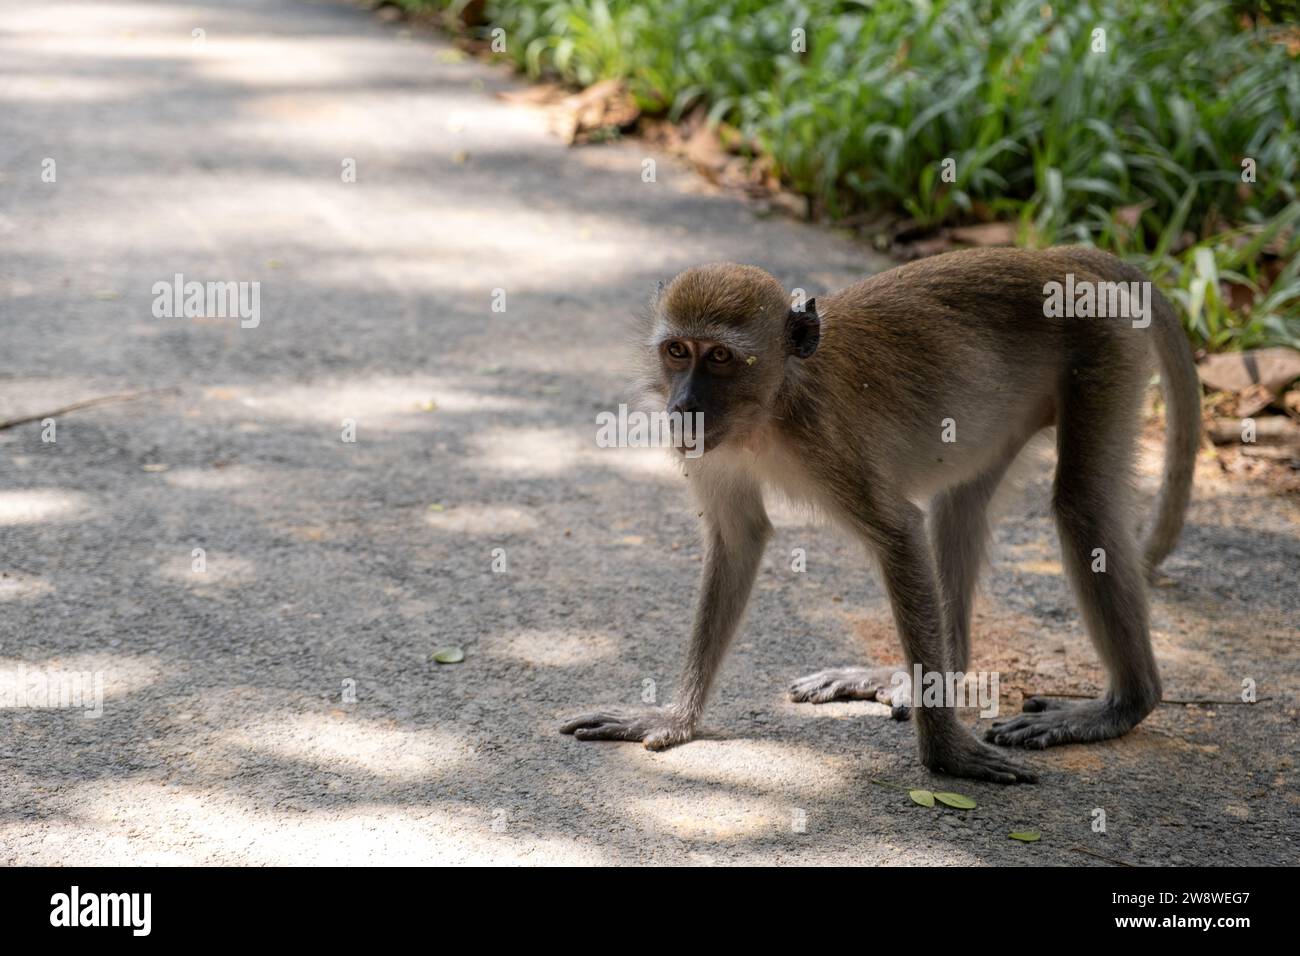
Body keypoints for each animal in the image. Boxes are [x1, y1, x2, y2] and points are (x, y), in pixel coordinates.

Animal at [561, 247, 1201, 783]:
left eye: (719, 357)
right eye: (677, 351)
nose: (685, 406)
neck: (772, 406)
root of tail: (1059, 256)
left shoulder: (826, 442)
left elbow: (898, 534)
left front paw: (946, 755)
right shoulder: (713, 448)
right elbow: (739, 539)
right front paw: (674, 719)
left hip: (1104, 352)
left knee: (1080, 504)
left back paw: (1123, 705)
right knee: (960, 506)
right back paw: (934, 674)